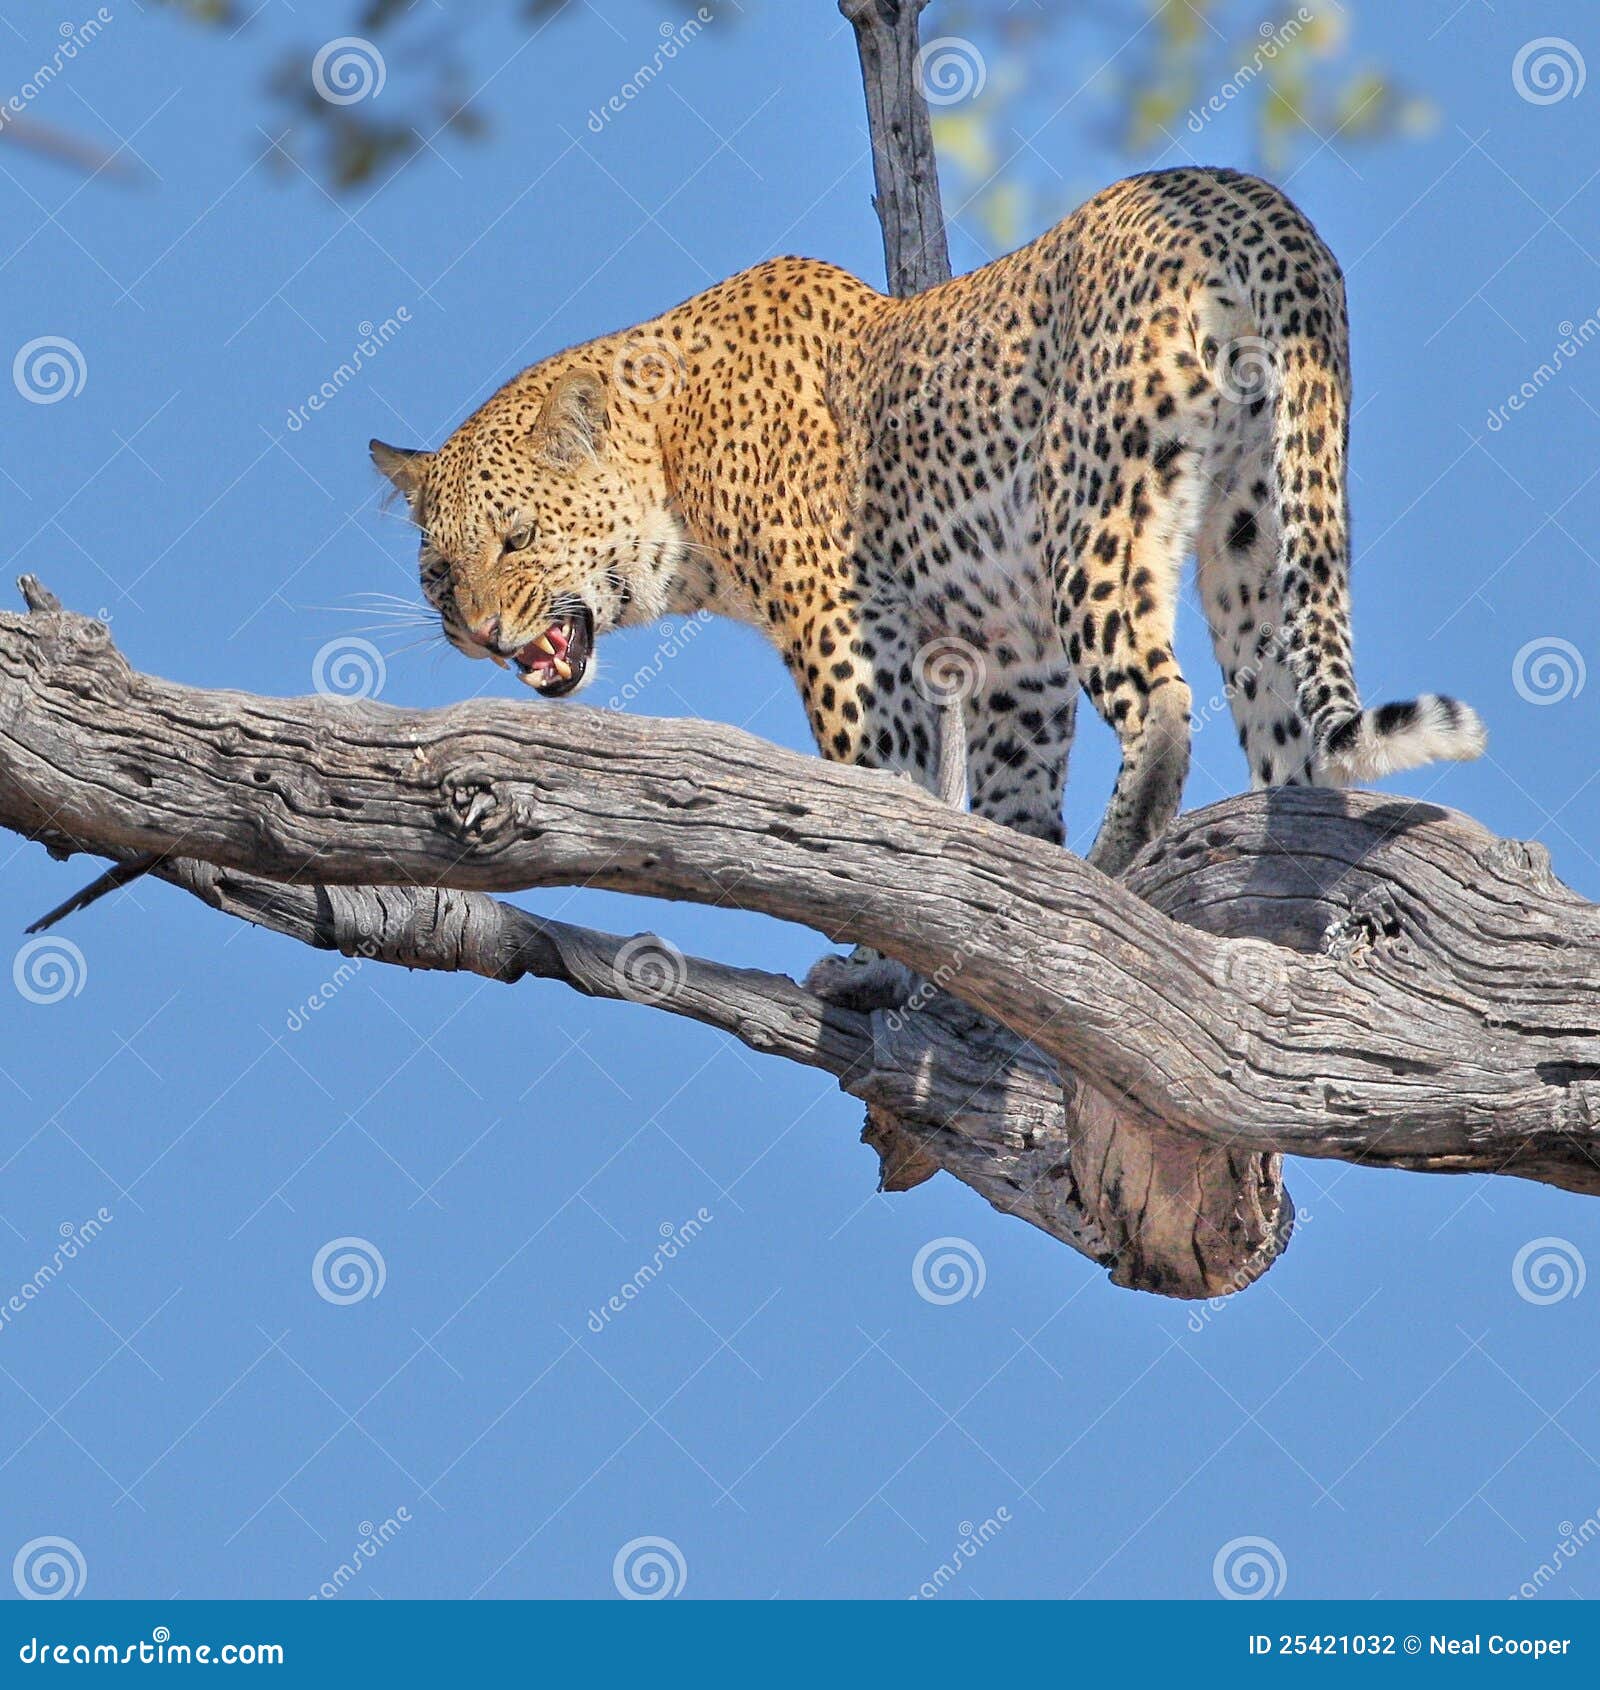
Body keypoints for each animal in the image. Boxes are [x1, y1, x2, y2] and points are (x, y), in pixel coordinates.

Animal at [372, 166, 1485, 998]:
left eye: (516, 539)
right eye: (437, 576)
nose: (478, 632)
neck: (672, 460)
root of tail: (1245, 199)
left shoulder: (840, 626)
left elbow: (883, 793)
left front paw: (884, 952)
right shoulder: (1011, 655)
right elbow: (1006, 794)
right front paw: (992, 921)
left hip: (1092, 511)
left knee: (1163, 703)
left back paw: (1115, 865)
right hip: (1257, 531)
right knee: (1287, 743)